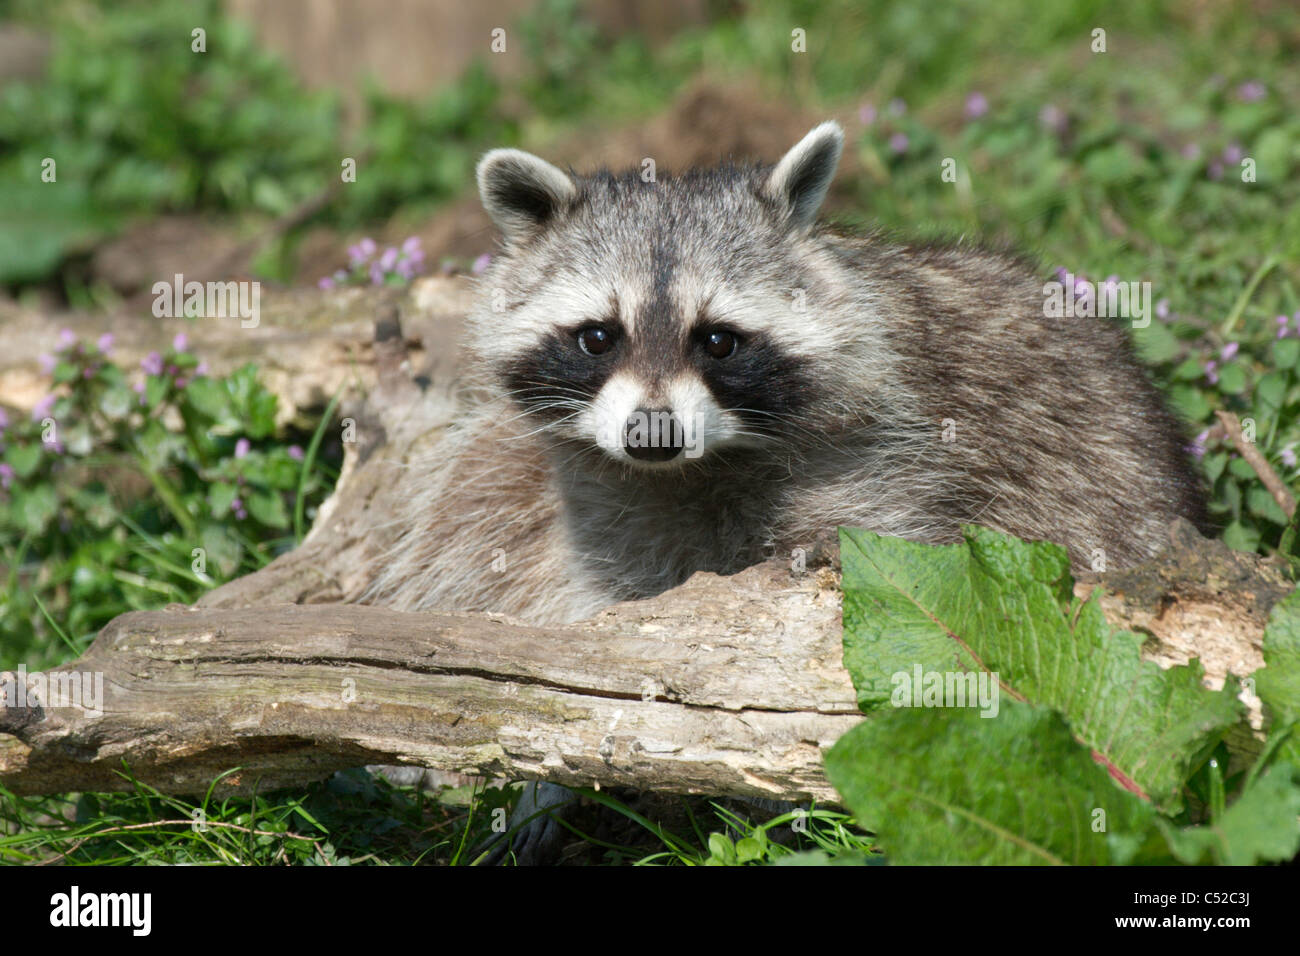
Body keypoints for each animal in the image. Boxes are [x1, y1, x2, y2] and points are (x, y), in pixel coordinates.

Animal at [366, 120, 1206, 625]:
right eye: (598, 337)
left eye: (719, 342)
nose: (652, 435)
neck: (691, 471)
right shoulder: (607, 503)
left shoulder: (887, 463)